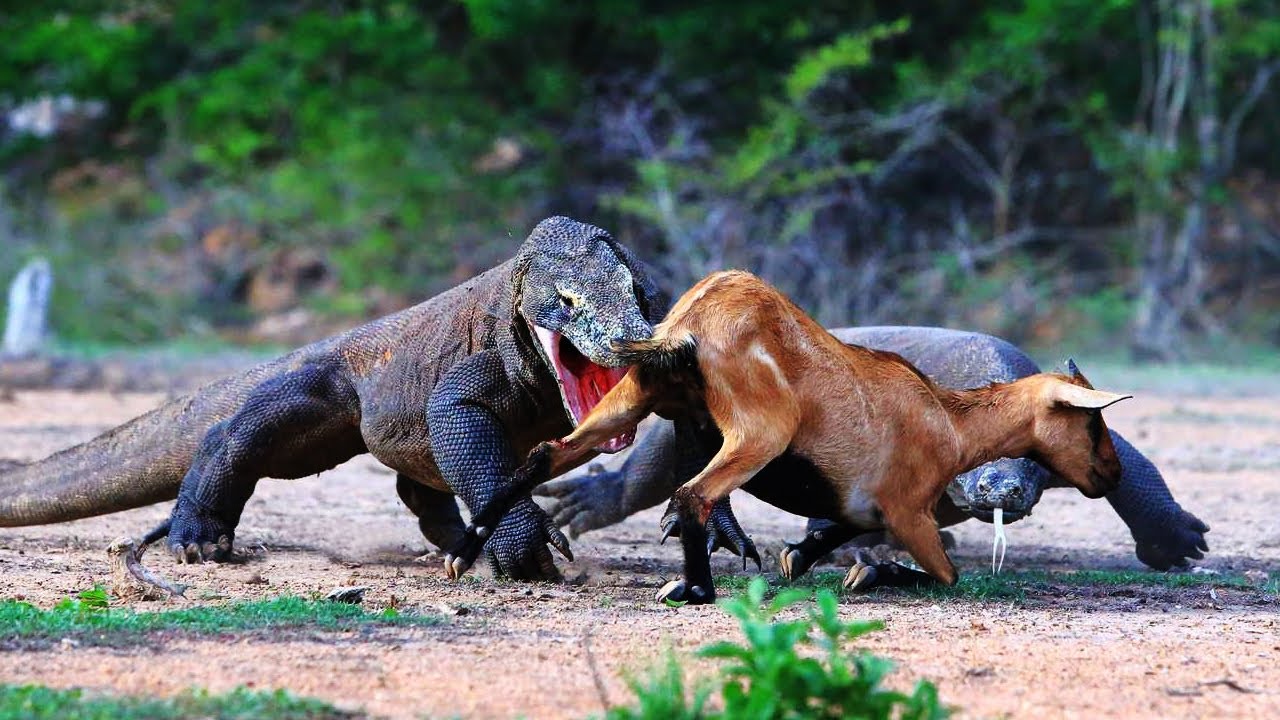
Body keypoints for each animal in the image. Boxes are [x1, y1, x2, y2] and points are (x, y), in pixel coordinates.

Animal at [446, 271, 1131, 604]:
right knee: (693, 494)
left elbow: (835, 531)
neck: (949, 419)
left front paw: (799, 558)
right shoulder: (908, 511)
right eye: (1091, 418)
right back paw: (694, 590)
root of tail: (690, 324)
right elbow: (943, 574)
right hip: (757, 435)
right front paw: (866, 577)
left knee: (546, 455)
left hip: (628, 404)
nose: (1113, 473)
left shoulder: (857, 504)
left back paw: (464, 550)